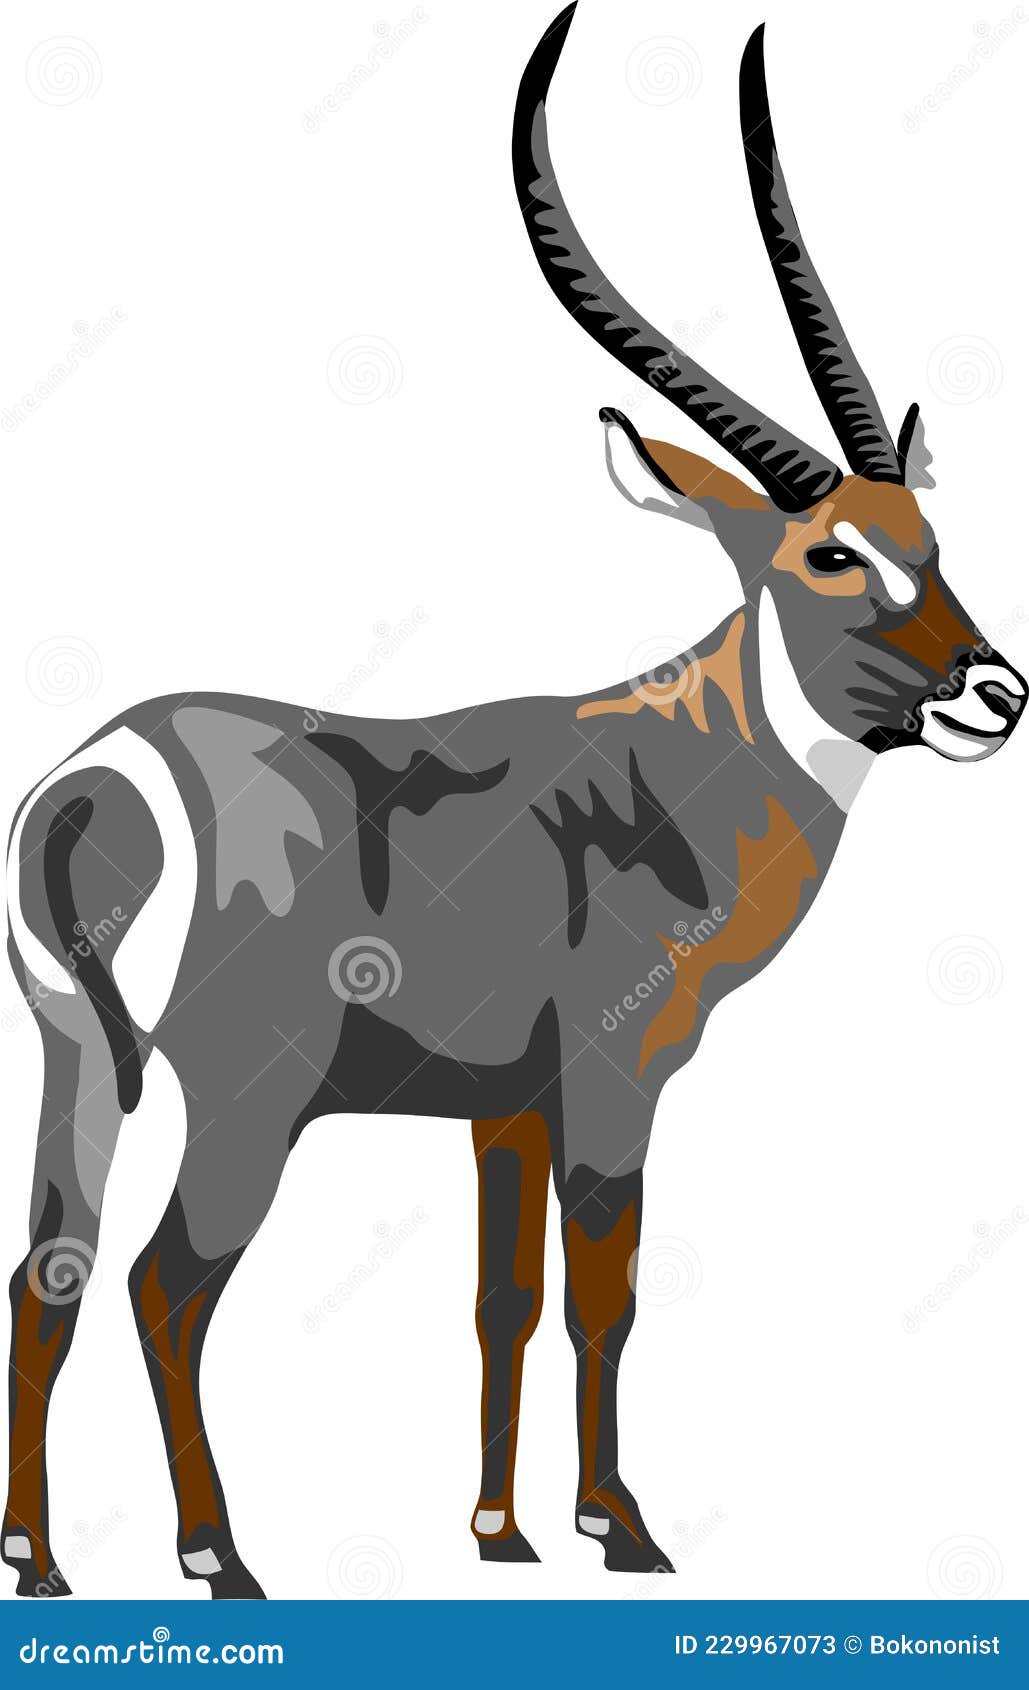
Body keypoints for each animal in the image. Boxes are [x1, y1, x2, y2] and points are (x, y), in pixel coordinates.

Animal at [4, 4, 1024, 1599]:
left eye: (929, 533)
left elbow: (504, 1296)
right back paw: (220, 1557)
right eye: (829, 554)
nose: (995, 692)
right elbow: (605, 1290)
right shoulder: (613, 1079)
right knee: (167, 1283)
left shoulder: (505, 1110)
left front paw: (501, 1533)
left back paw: (38, 1560)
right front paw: (627, 1530)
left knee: (47, 1268)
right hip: (243, 1099)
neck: (664, 767)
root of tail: (104, 776)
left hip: (74, 1069)